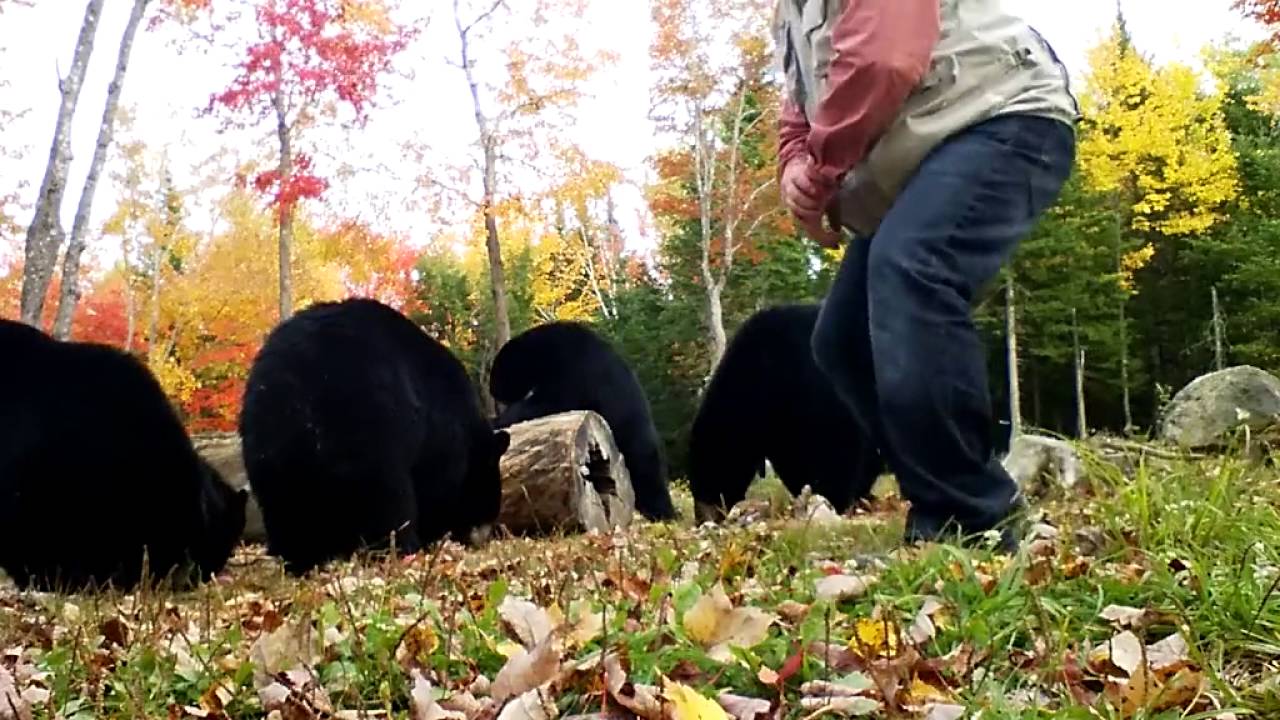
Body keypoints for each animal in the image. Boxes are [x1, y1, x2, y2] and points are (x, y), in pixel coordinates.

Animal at [238, 297, 510, 575]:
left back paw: (300, 561)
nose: (483, 536)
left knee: (286, 510)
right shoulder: (442, 432)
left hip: (268, 451)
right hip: (369, 433)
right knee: (389, 499)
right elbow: (436, 484)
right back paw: (399, 549)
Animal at [488, 321, 676, 521]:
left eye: (498, 374)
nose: (492, 390)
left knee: (648, 473)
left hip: (633, 437)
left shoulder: (574, 366)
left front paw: (497, 420)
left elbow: (551, 401)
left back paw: (663, 512)